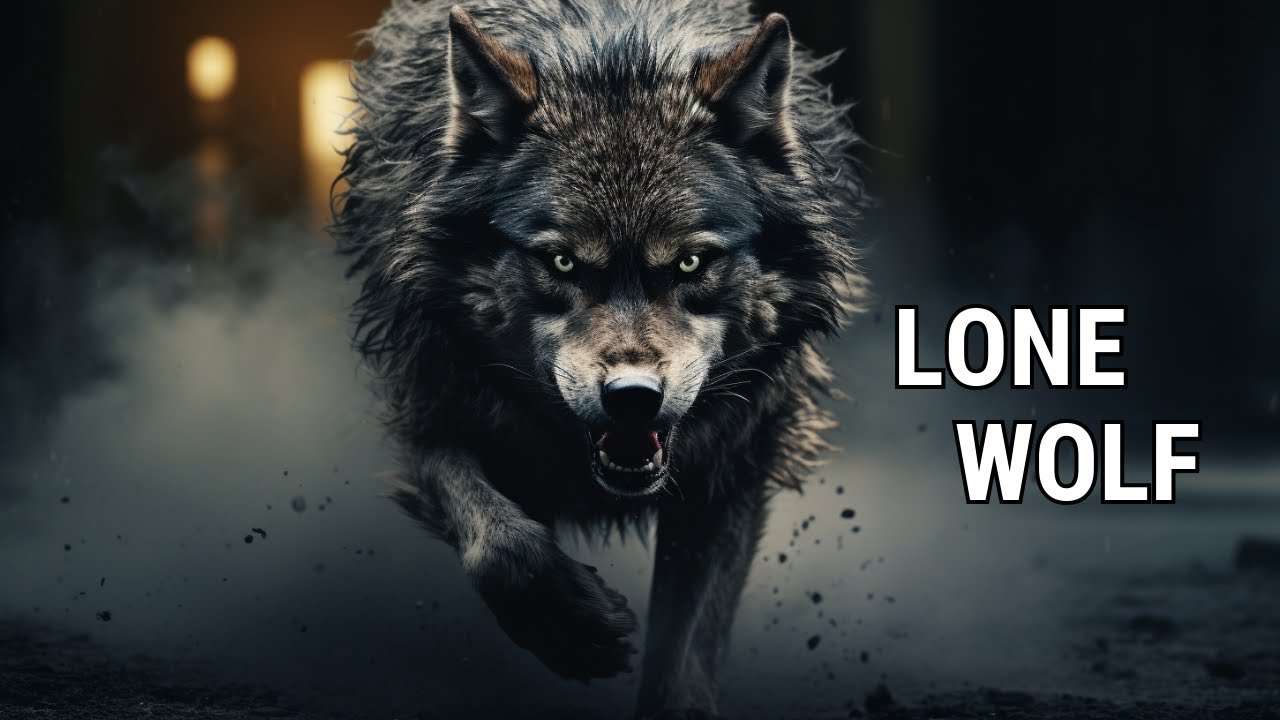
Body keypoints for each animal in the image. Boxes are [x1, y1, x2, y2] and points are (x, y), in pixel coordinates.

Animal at [335, 1, 864, 717]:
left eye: (691, 263)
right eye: (561, 261)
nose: (633, 397)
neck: (613, 56)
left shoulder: (730, 468)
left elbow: (683, 660)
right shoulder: (431, 409)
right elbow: (498, 541)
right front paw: (568, 626)